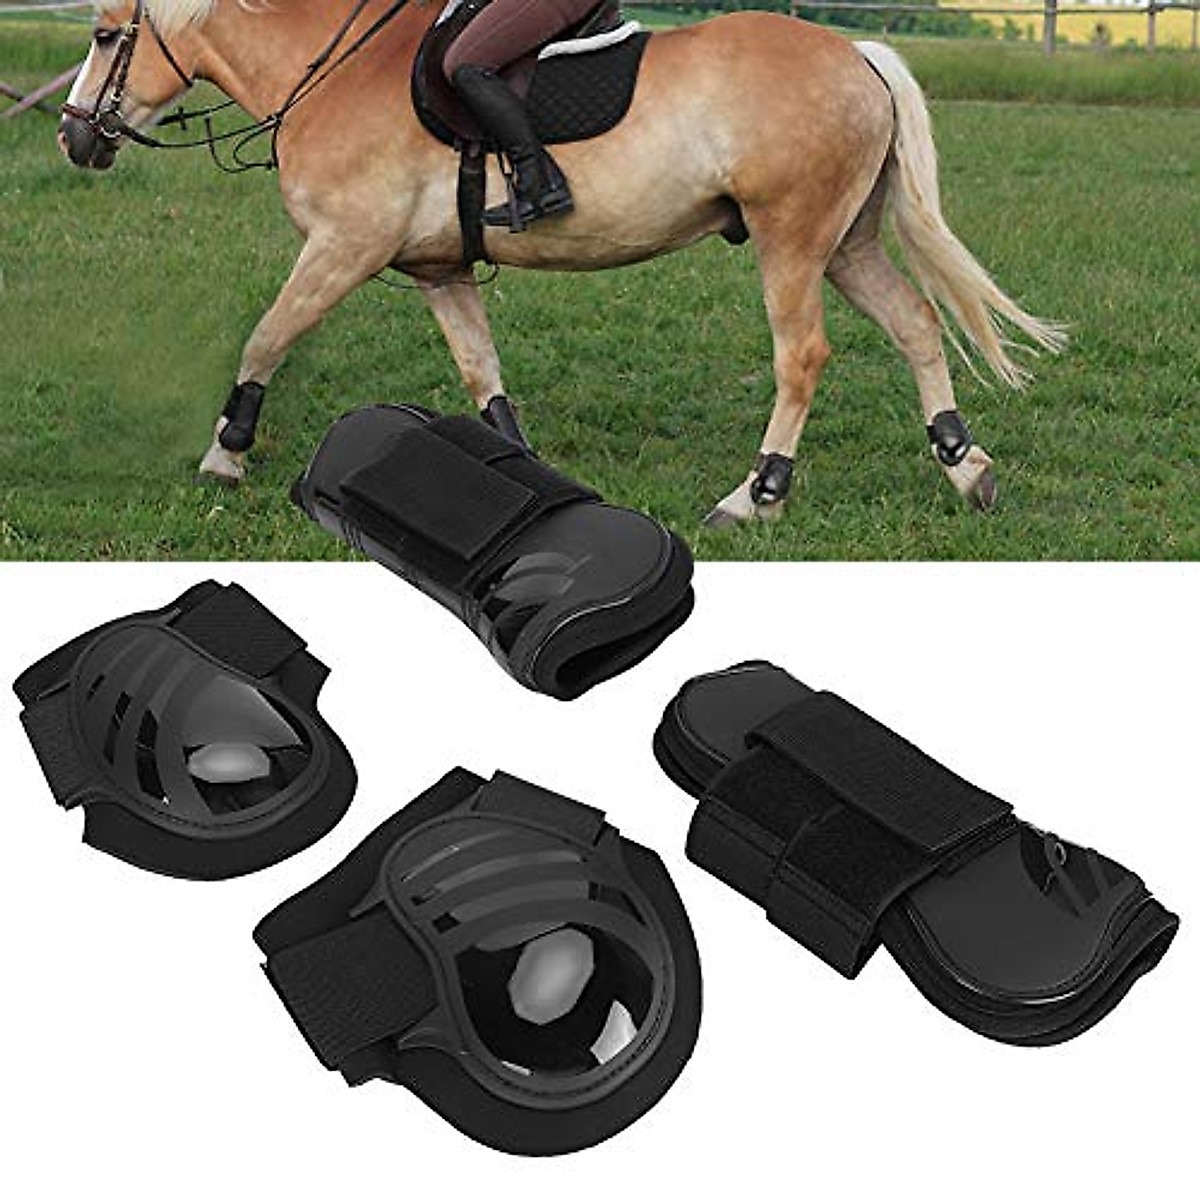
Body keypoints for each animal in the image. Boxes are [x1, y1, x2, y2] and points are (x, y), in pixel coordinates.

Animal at [59, 0, 1064, 525]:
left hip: (791, 239)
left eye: (108, 35)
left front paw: (224, 455)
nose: (74, 136)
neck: (330, 70)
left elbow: (265, 340)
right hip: (844, 243)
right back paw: (964, 467)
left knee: (803, 359)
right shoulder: (438, 270)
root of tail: (852, 54)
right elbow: (482, 373)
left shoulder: (344, 247)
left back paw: (756, 496)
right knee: (917, 324)